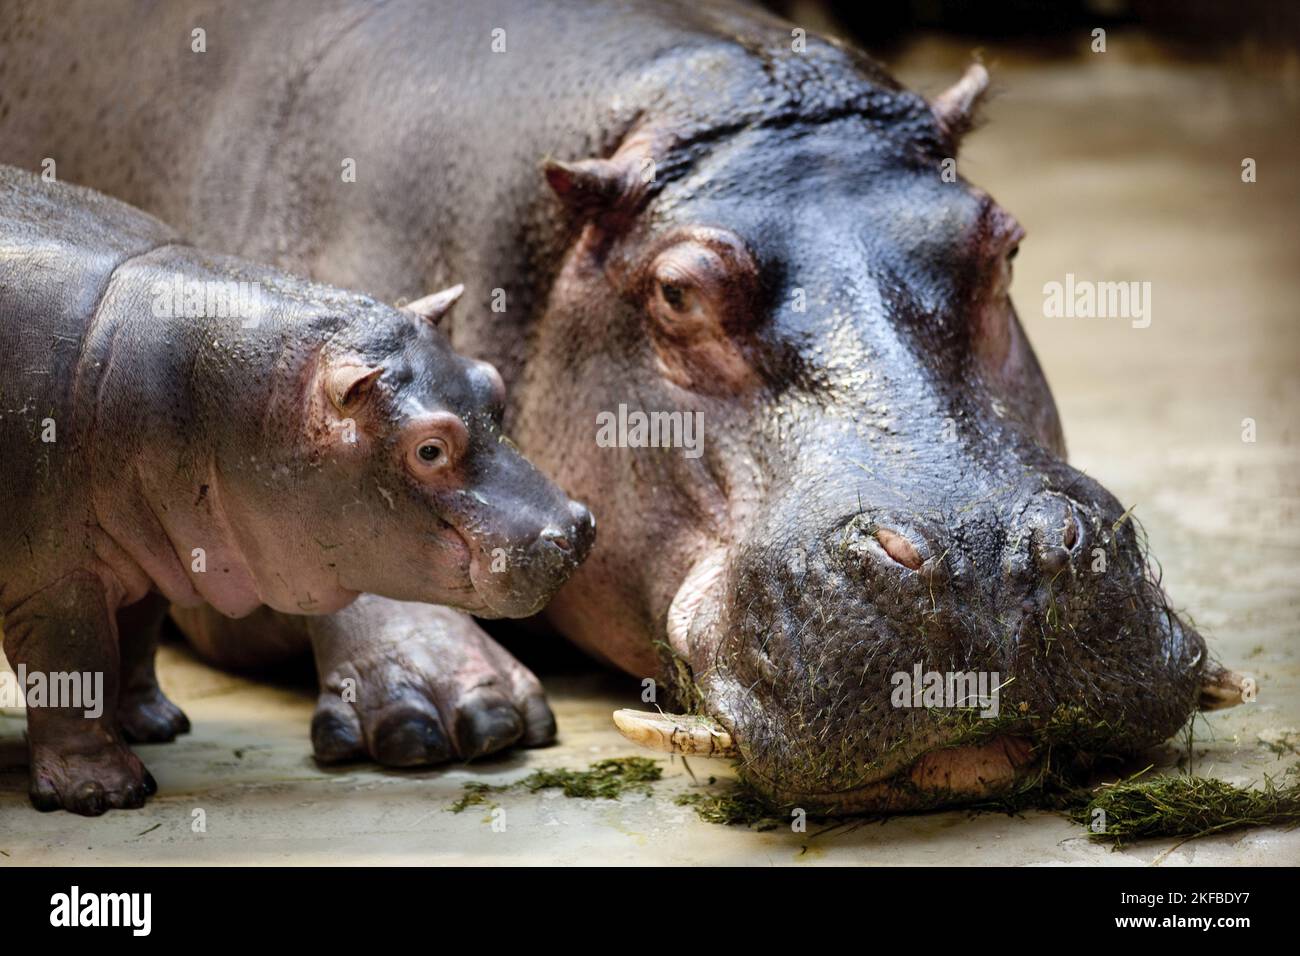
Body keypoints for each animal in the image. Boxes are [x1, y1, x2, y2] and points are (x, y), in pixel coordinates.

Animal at [0, 165, 593, 814]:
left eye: (491, 380)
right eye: (429, 450)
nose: (576, 527)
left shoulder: (150, 552)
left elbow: (134, 639)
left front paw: (157, 726)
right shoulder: (54, 579)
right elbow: (74, 665)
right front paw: (105, 793)